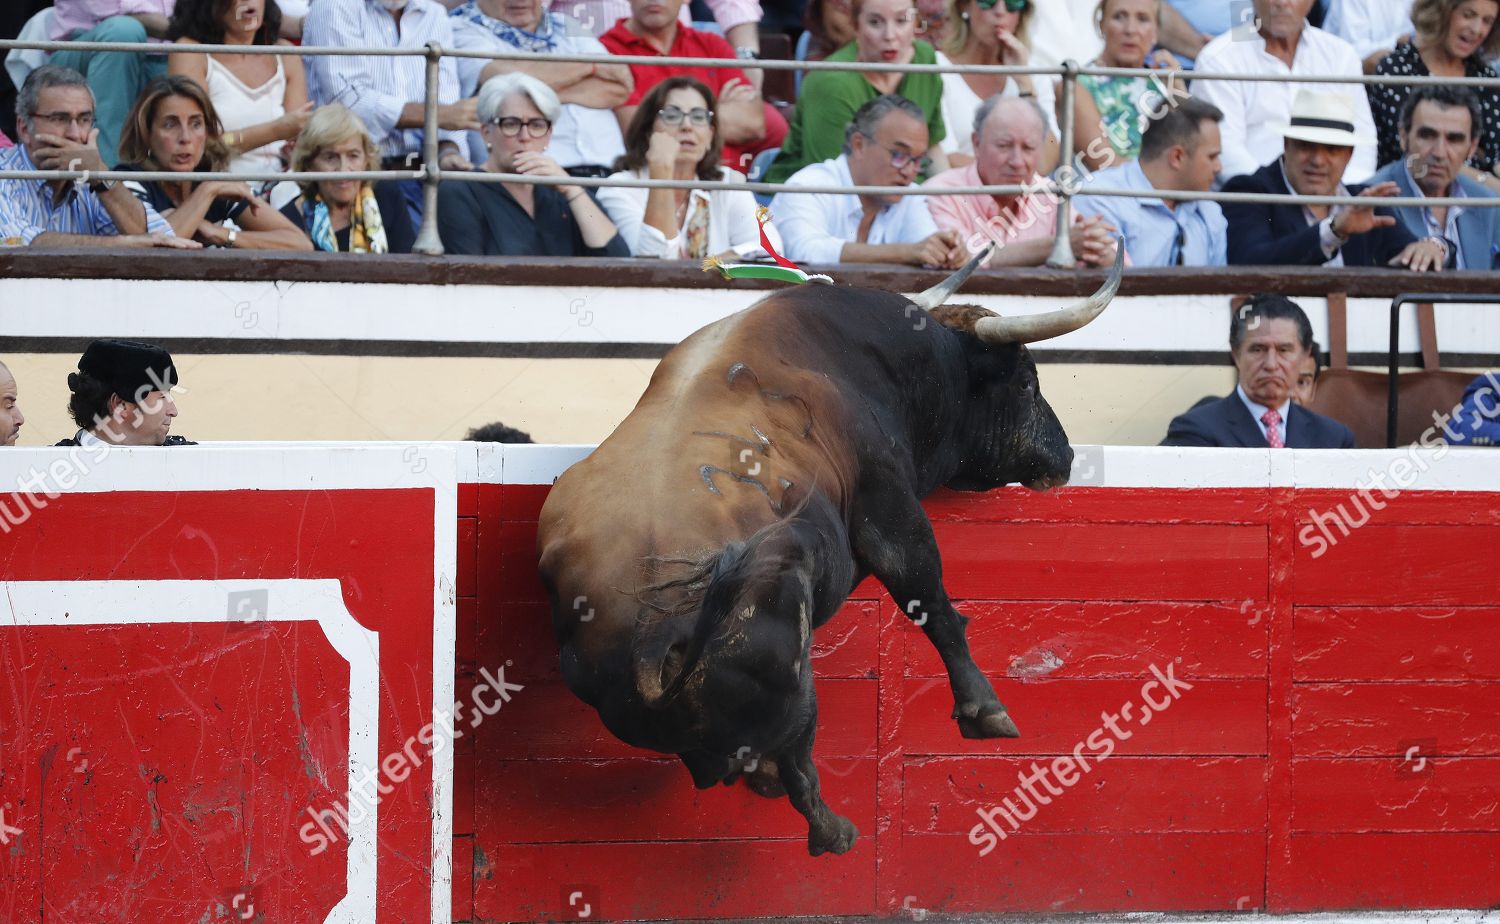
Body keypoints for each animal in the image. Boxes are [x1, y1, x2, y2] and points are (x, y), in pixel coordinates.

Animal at [536, 246, 1122, 856]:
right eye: (1028, 382)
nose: (1066, 455)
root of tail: (648, 636)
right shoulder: (890, 506)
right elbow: (931, 602)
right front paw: (986, 710)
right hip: (794, 670)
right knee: (798, 763)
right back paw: (832, 827)